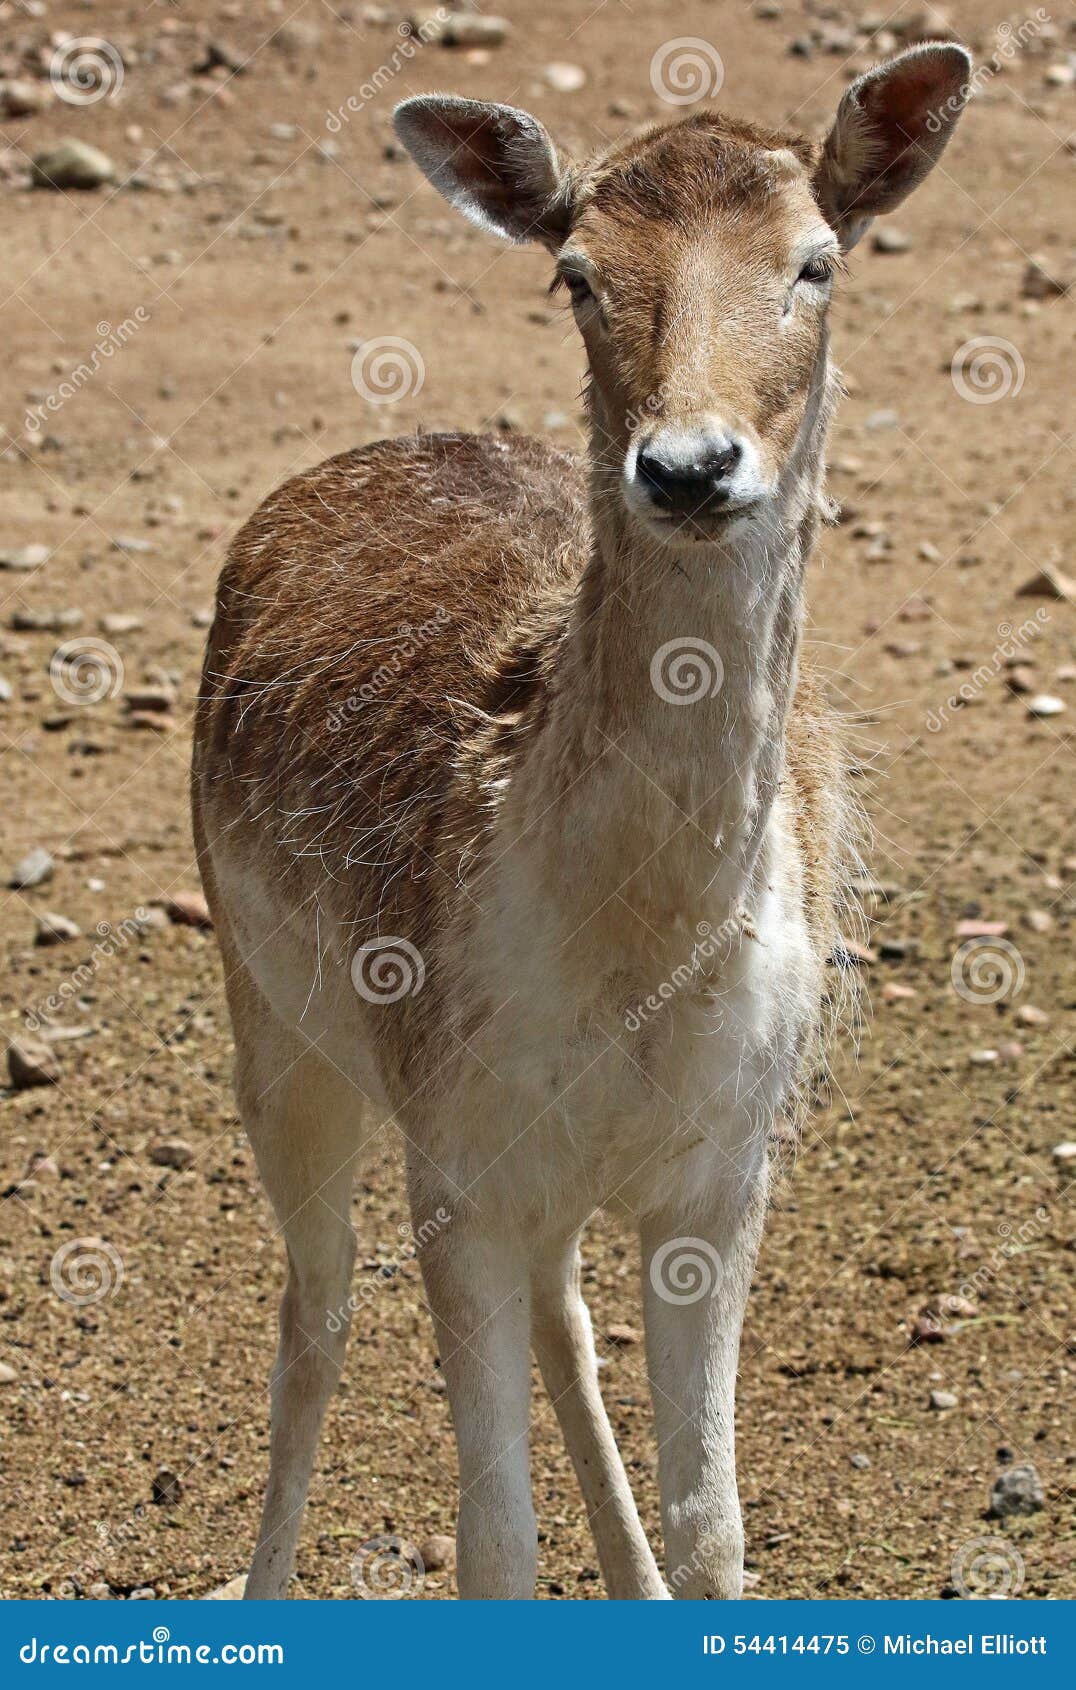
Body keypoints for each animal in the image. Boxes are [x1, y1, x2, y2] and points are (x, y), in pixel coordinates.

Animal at [192, 42, 972, 1599]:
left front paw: (674, 1568)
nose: (686, 466)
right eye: (575, 273)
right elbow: (490, 1542)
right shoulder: (454, 1157)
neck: (637, 948)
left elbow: (717, 1526)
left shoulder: (725, 1167)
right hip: (276, 1022)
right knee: (315, 1311)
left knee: (560, 1313)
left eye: (817, 261)